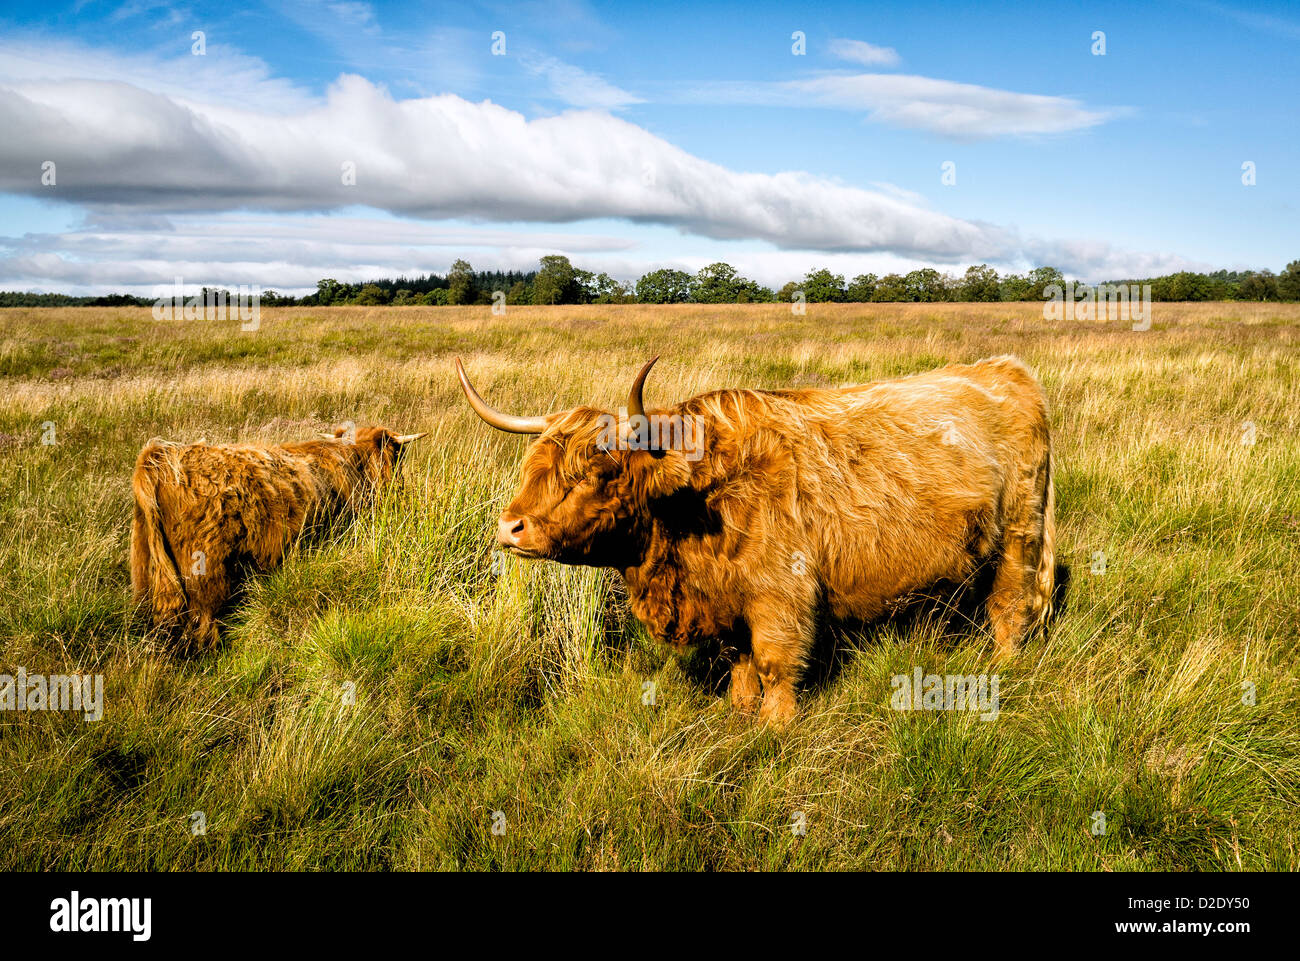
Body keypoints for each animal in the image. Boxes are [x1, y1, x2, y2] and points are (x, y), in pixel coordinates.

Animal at [130, 425, 425, 651]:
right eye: (398, 458)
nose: (402, 489)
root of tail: (160, 457)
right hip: (206, 573)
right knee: (203, 623)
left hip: (150, 570)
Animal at [457, 355, 1055, 723]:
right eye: (532, 467)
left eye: (595, 474)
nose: (509, 528)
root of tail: (1007, 370)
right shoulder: (728, 599)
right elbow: (738, 659)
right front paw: (739, 712)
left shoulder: (781, 594)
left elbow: (773, 662)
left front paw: (775, 725)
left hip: (1020, 532)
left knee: (1010, 605)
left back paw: (1003, 667)